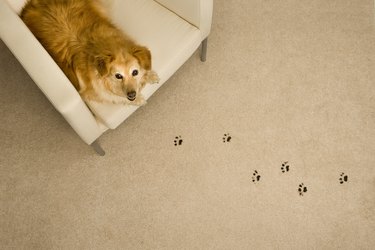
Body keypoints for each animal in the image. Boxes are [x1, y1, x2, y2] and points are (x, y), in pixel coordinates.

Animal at [20, 0, 159, 105]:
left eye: (135, 72)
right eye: (118, 76)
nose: (132, 94)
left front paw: (150, 75)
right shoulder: (91, 92)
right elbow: (113, 97)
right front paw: (137, 99)